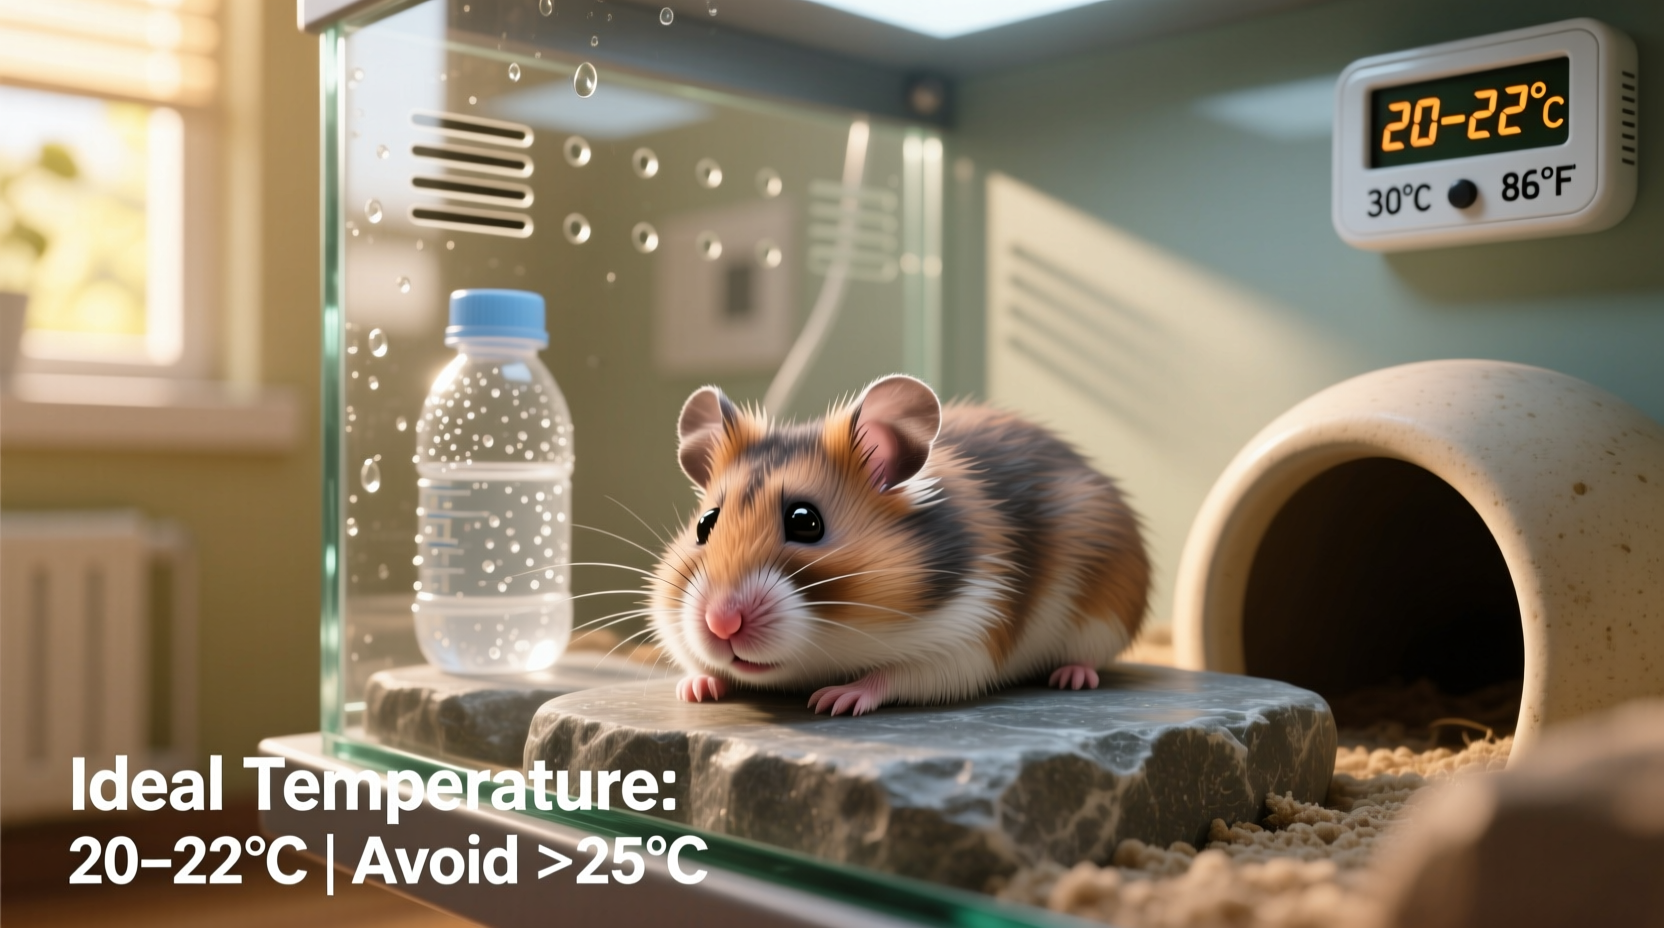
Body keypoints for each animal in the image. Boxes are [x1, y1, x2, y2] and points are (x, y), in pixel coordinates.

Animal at [649, 374, 1149, 716]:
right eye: (704, 525)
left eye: (805, 521)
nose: (721, 623)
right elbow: (694, 661)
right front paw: (695, 690)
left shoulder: (967, 637)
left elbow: (897, 675)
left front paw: (834, 699)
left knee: (1090, 656)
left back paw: (1071, 677)